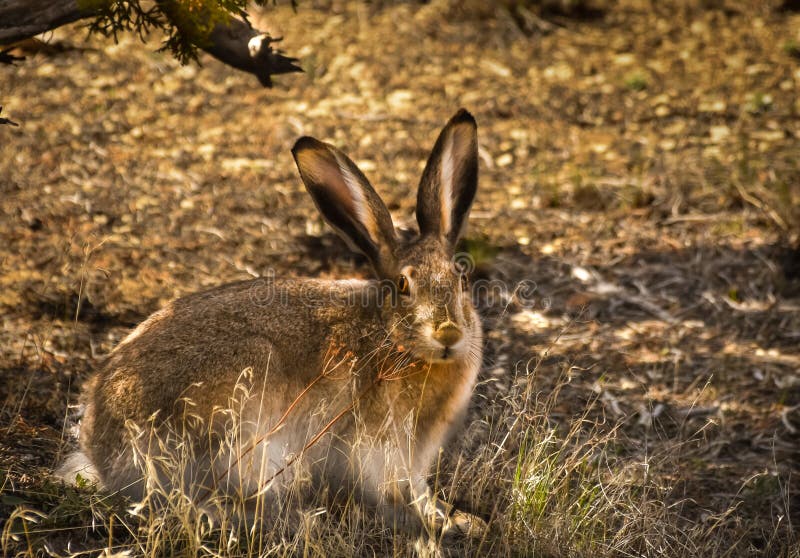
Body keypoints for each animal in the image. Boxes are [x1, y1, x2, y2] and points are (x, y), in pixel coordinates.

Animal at [71, 109, 486, 539]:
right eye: (404, 285)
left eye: (461, 279)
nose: (449, 333)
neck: (391, 336)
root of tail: (102, 450)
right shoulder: (380, 446)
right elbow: (391, 492)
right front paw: (436, 522)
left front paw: (459, 518)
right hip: (243, 423)